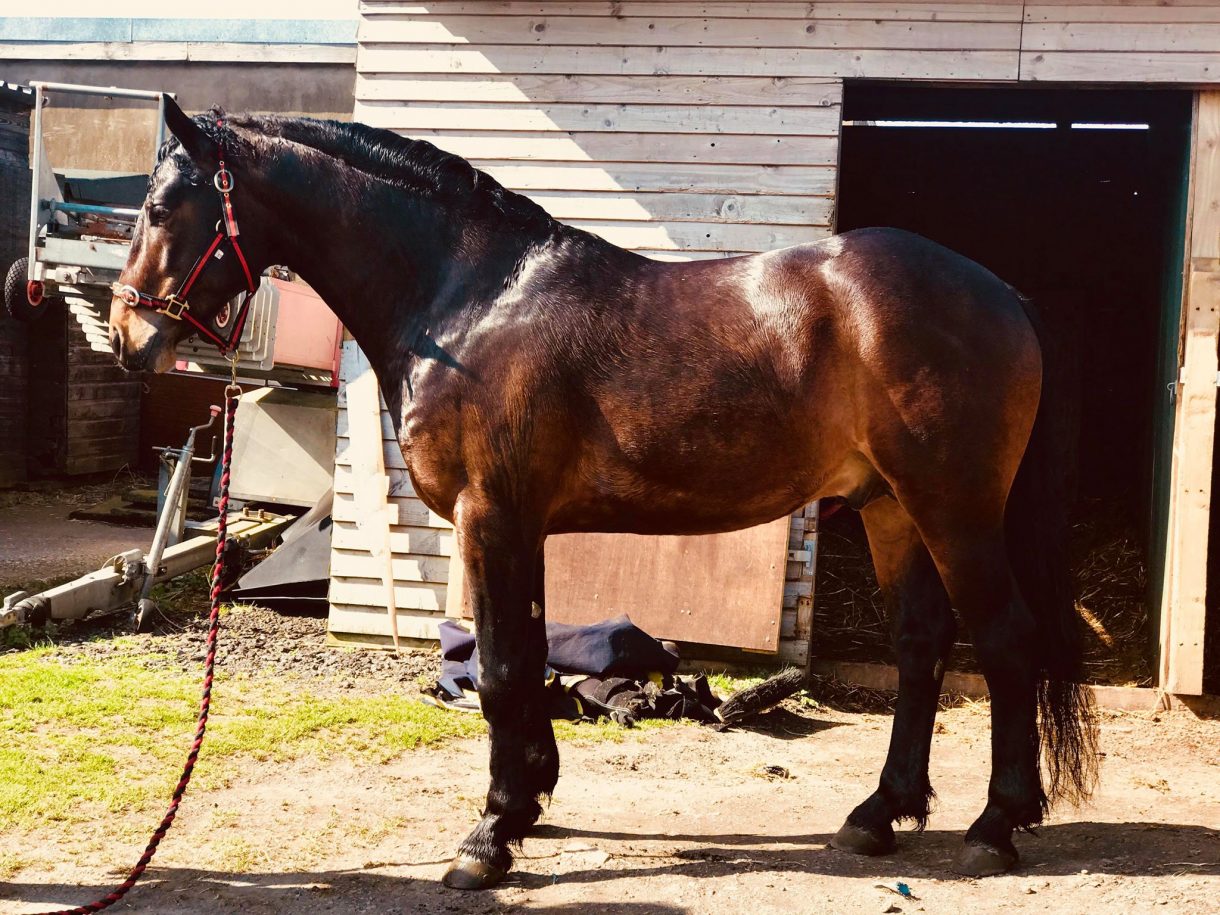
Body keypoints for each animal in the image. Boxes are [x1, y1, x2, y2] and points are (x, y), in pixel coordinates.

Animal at [108, 96, 1098, 890]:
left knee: (1005, 640)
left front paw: (488, 837)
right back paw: (880, 813)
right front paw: (527, 802)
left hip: (953, 508)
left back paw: (996, 823)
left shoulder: (492, 518)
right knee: (921, 644)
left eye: (160, 207)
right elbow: (527, 655)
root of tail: (1000, 293)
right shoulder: (524, 527)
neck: (470, 297)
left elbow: (503, 670)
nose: (125, 332)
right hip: (893, 508)